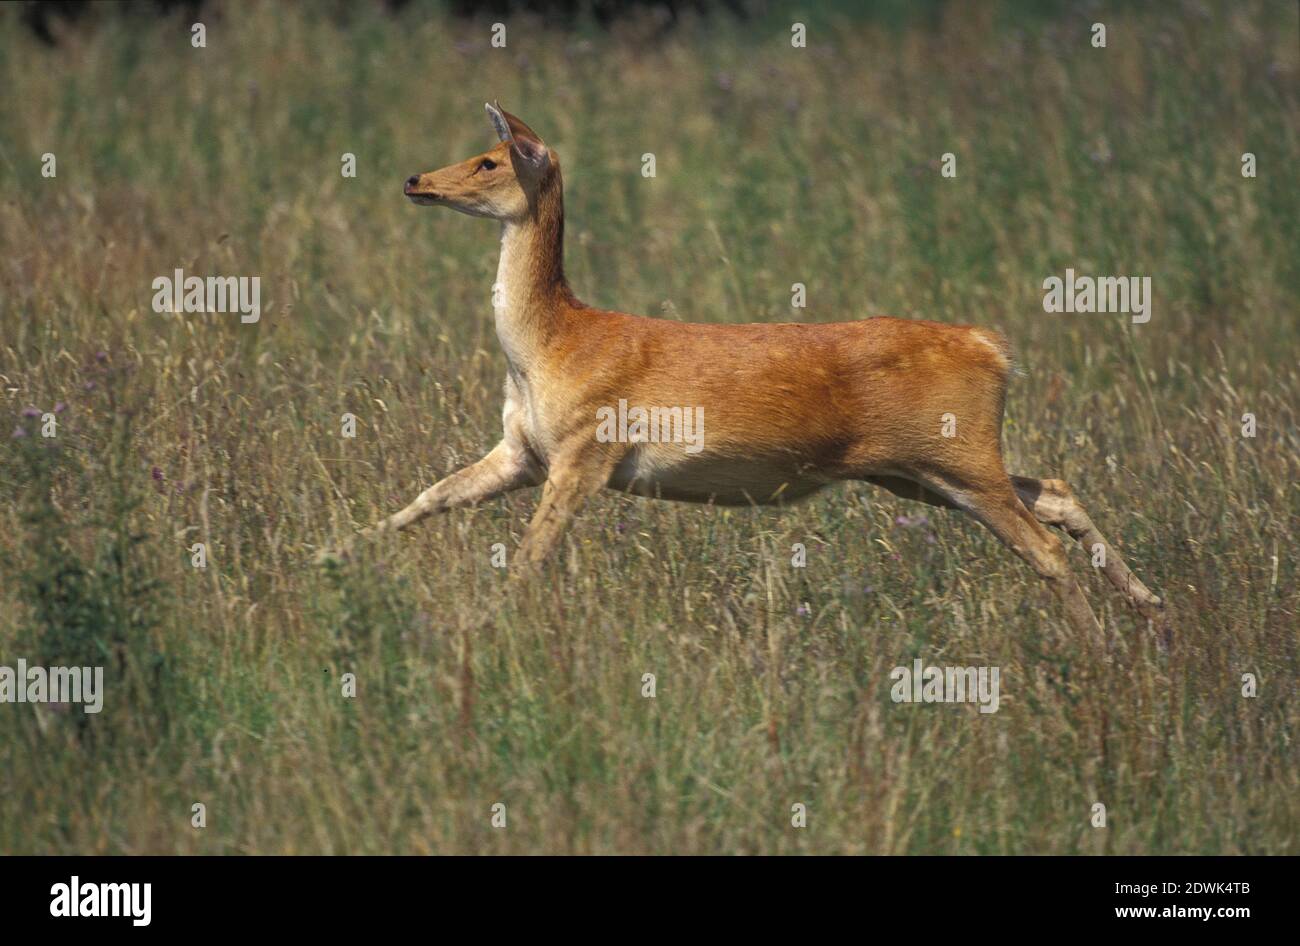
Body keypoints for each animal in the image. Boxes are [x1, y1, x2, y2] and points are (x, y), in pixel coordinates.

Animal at [349, 102, 1169, 643]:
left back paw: (1098, 648)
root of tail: (993, 347)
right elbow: (429, 496)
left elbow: (529, 555)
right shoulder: (525, 450)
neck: (549, 346)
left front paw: (485, 625)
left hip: (954, 455)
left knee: (1044, 548)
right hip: (920, 470)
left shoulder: (588, 449)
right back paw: (1149, 605)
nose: (415, 178)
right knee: (1055, 493)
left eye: (491, 159)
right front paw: (338, 552)